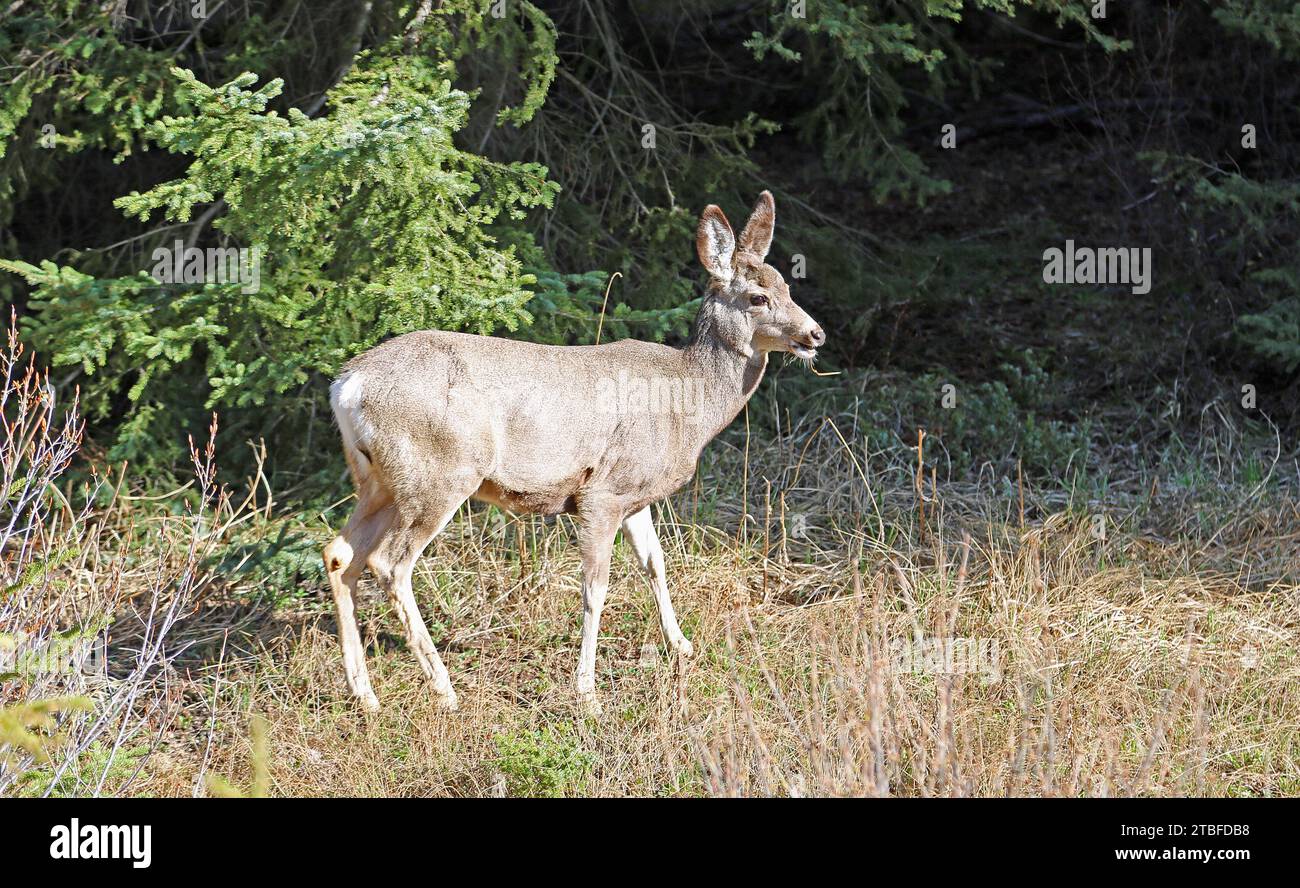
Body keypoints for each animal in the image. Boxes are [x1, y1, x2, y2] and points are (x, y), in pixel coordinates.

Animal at [322, 191, 824, 713]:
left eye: (788, 286)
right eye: (758, 297)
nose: (815, 334)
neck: (687, 399)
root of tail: (348, 385)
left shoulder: (634, 494)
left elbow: (655, 564)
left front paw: (682, 645)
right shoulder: (600, 492)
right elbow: (595, 587)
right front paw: (586, 689)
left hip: (379, 480)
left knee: (340, 554)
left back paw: (364, 693)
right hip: (438, 472)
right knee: (389, 563)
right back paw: (443, 688)